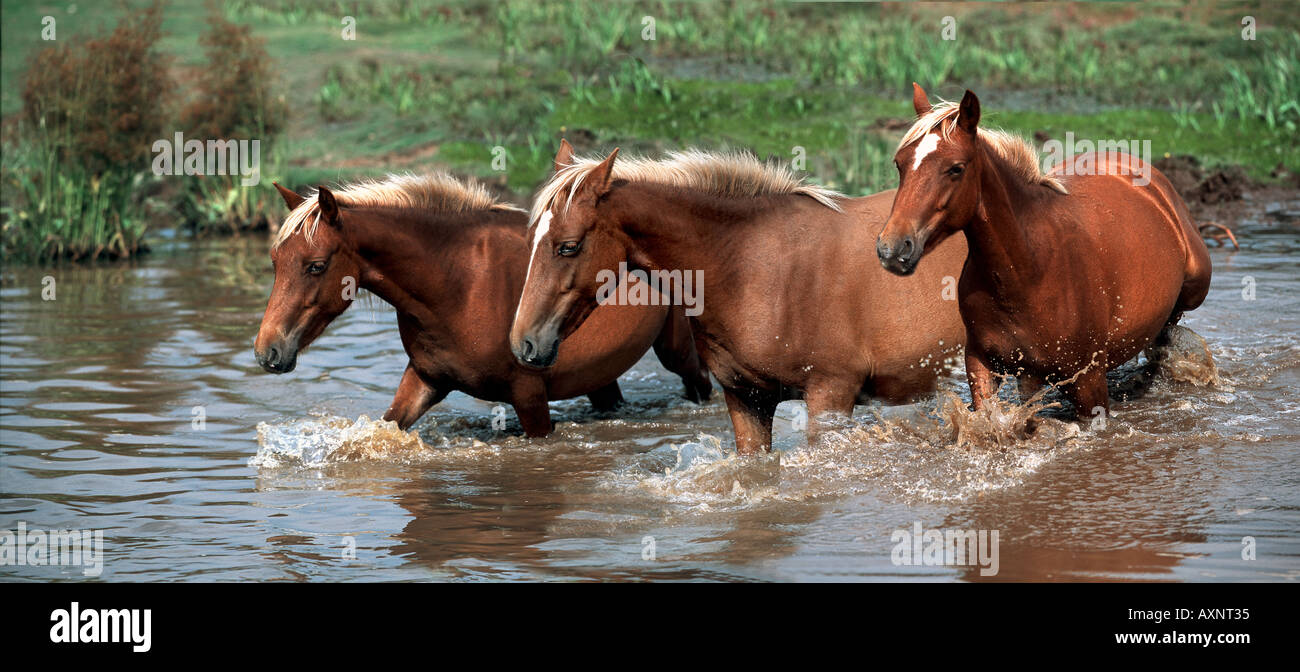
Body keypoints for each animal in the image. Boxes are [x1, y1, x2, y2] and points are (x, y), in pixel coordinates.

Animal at [252, 172, 712, 436]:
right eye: (274, 261)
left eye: (315, 266)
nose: (267, 351)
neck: (459, 284)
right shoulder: (424, 379)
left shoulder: (529, 397)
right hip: (601, 376)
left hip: (679, 354)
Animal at [509, 140, 967, 454]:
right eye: (530, 241)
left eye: (568, 246)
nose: (524, 342)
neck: (751, 266)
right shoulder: (747, 399)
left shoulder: (831, 394)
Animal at [875, 84, 1212, 420]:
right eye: (899, 163)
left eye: (956, 168)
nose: (892, 247)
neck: (1029, 270)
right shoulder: (986, 365)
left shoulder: (1088, 382)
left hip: (1191, 293)